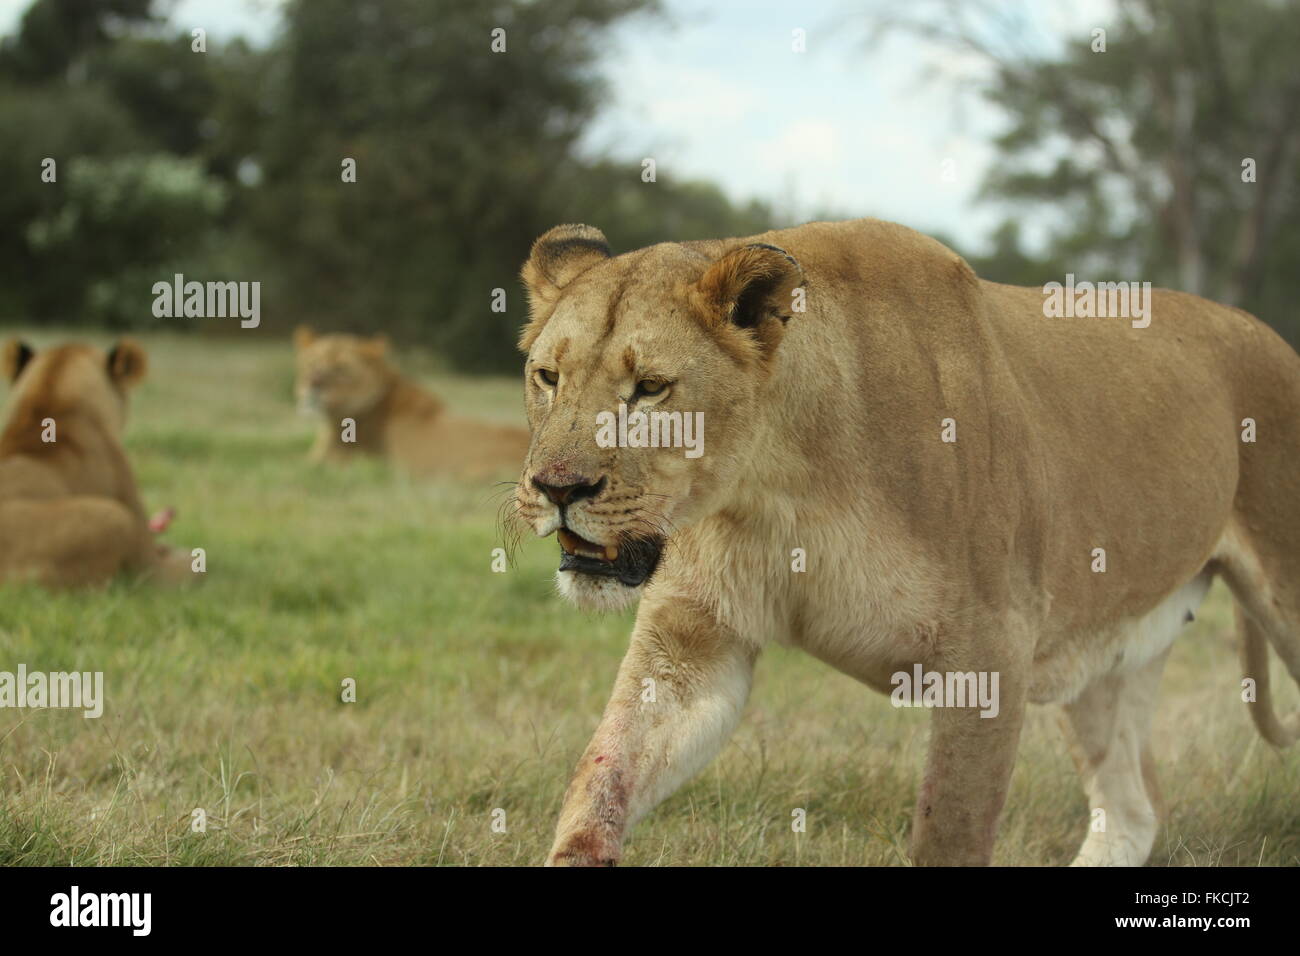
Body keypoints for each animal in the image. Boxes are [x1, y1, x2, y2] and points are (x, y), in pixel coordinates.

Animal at [513, 218, 1300, 867]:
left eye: (650, 388)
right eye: (547, 376)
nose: (556, 488)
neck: (777, 487)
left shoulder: (992, 651)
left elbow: (949, 831)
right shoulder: (693, 644)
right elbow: (604, 778)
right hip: (1107, 646)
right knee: (1134, 808)